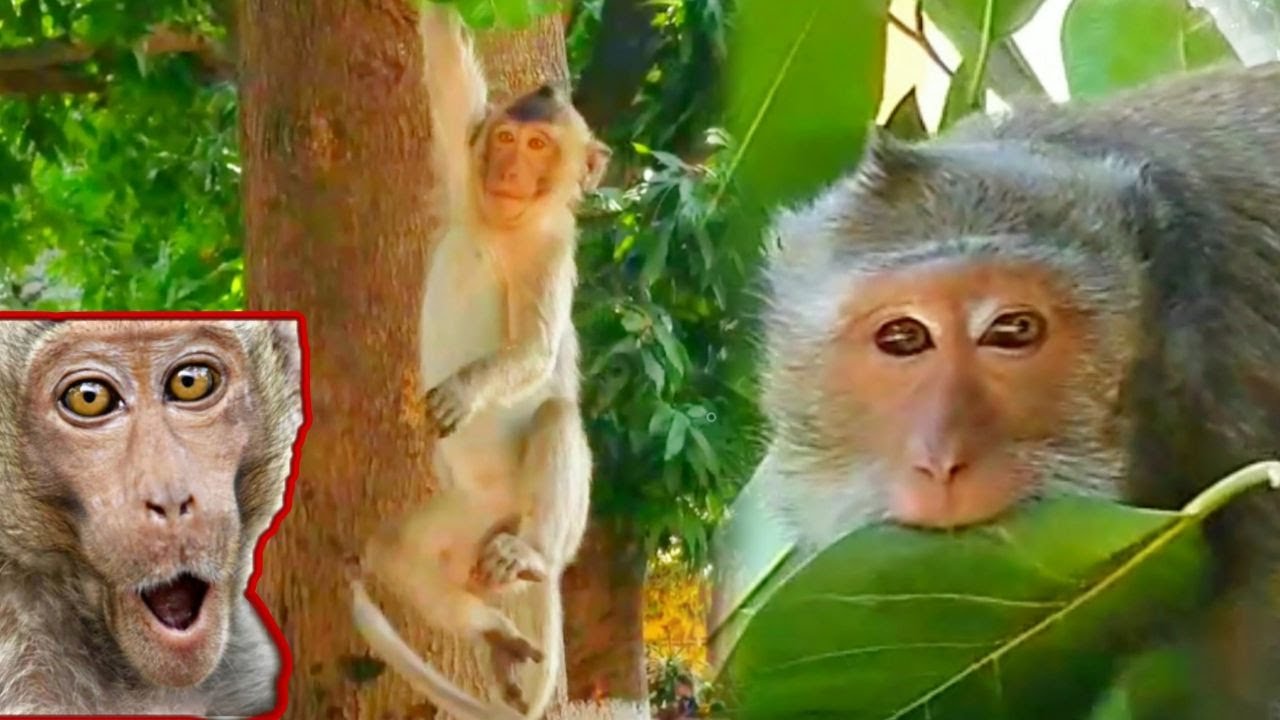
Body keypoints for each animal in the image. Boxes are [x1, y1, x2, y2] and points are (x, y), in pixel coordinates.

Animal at [347, 3, 609, 720]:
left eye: (539, 147)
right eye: (508, 139)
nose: (510, 170)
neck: (503, 225)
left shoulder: (551, 249)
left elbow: (536, 351)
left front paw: (464, 389)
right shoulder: (465, 162)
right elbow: (443, 56)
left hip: (534, 516)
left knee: (556, 416)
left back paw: (532, 557)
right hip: (460, 521)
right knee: (393, 556)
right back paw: (491, 632)